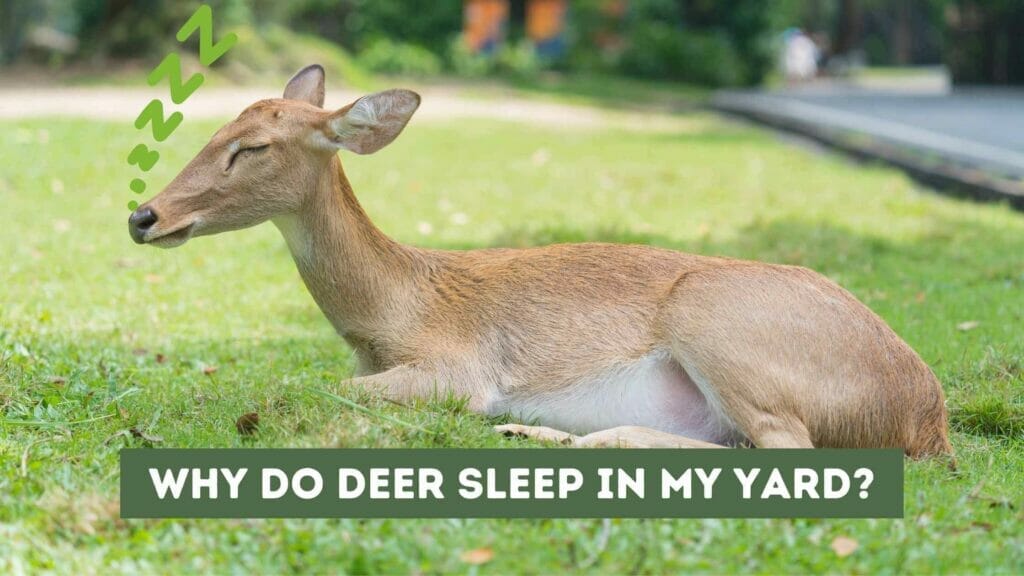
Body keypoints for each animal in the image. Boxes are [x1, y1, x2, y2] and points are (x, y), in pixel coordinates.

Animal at [128, 64, 953, 460]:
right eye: (215, 127)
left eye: (252, 146)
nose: (144, 216)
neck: (395, 311)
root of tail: (928, 420)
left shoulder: (458, 368)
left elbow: (320, 386)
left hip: (720, 322)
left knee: (785, 446)